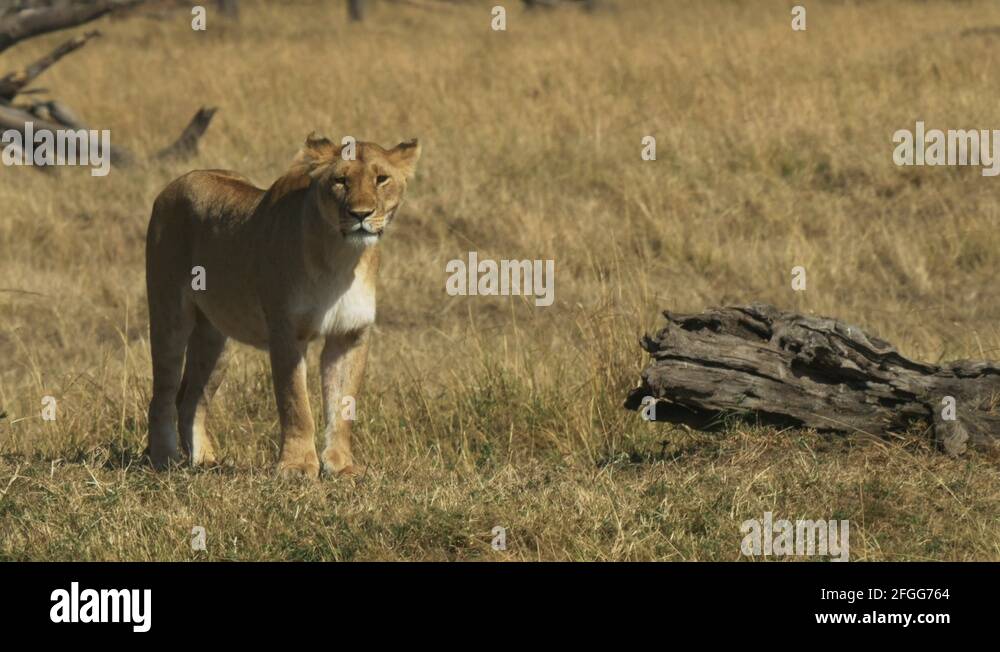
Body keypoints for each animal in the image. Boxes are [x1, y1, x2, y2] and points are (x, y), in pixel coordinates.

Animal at [144, 134, 421, 478]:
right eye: (340, 181)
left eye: (381, 179)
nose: (361, 214)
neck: (342, 257)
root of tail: (174, 184)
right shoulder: (287, 332)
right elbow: (295, 403)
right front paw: (297, 467)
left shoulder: (350, 335)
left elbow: (343, 405)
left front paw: (341, 466)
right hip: (169, 316)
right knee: (163, 395)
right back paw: (164, 460)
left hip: (216, 342)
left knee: (191, 399)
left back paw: (204, 461)